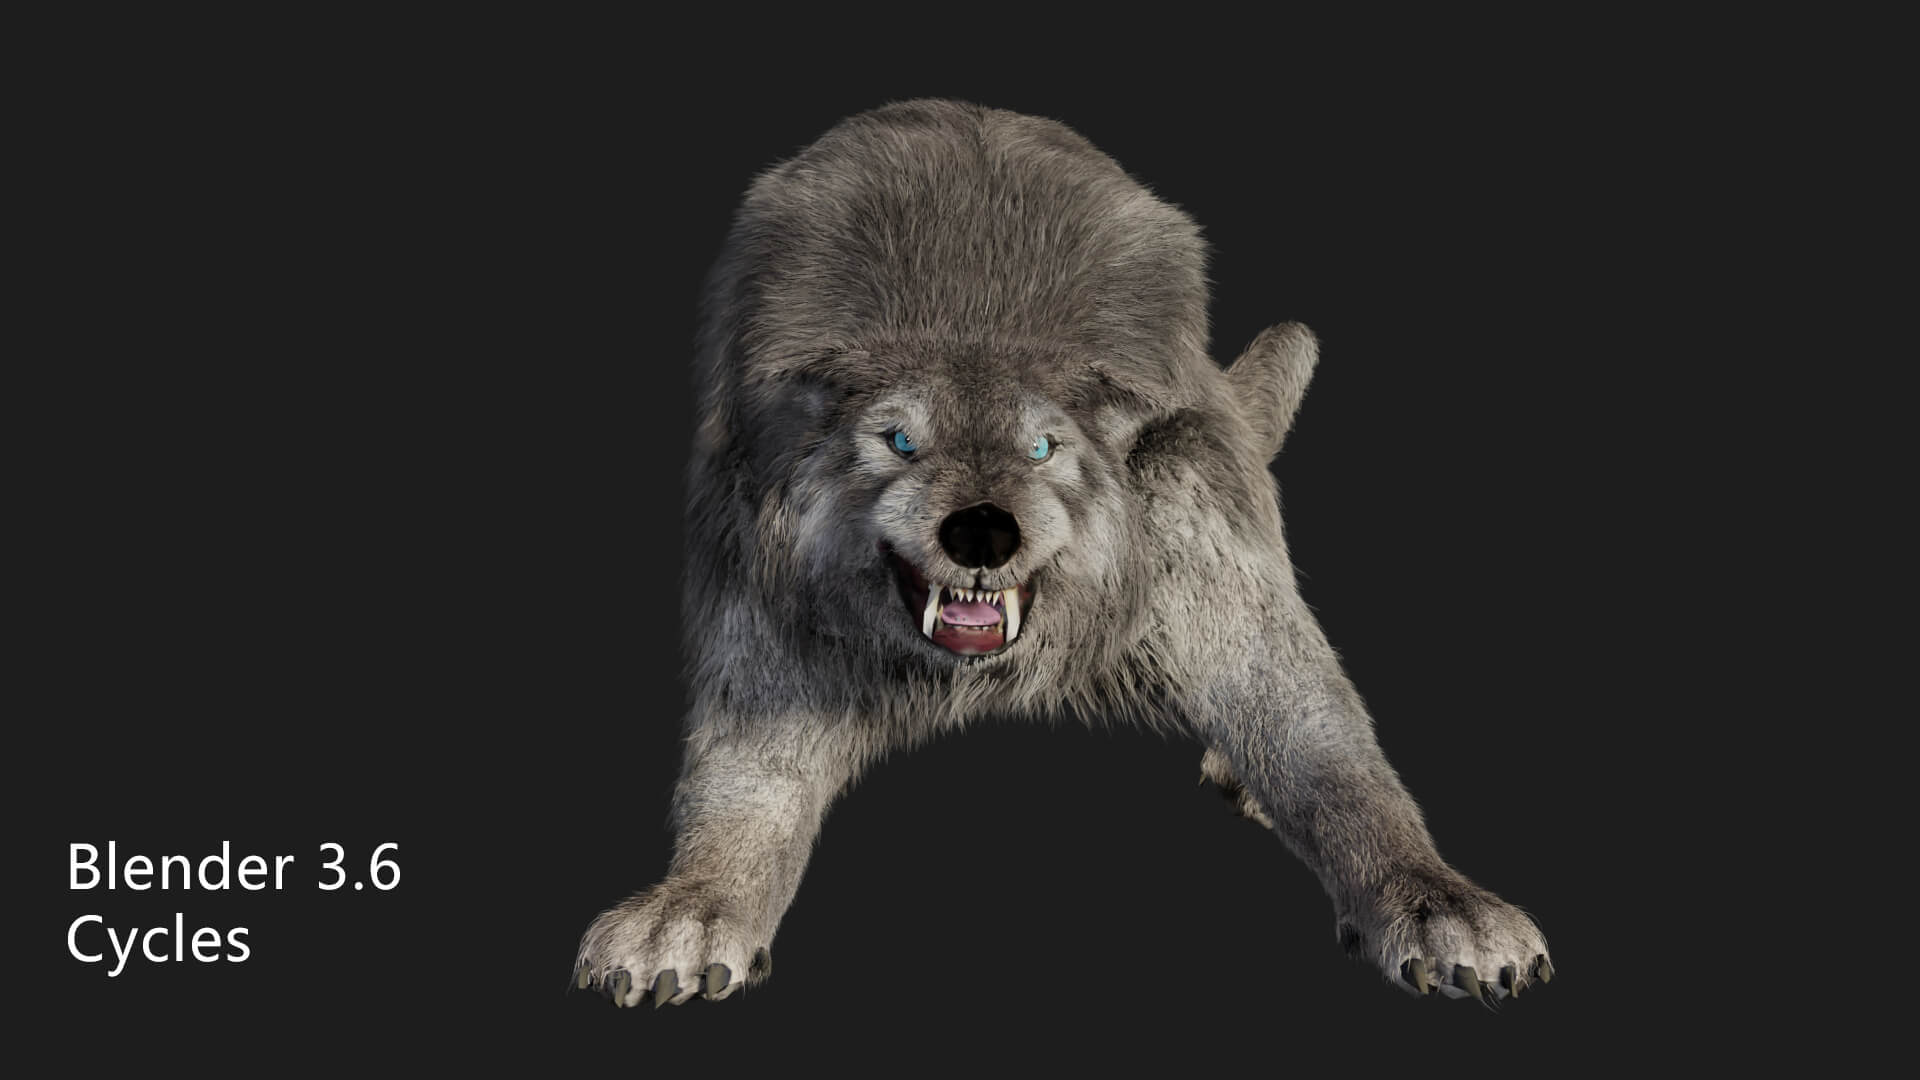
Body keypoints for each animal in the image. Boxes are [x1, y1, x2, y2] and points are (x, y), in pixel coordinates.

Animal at [575, 99, 1552, 1007]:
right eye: (900, 441)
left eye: (1043, 448)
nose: (980, 529)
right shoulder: (760, 610)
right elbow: (745, 794)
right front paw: (688, 912)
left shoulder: (1201, 526)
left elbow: (1327, 749)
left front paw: (1439, 904)